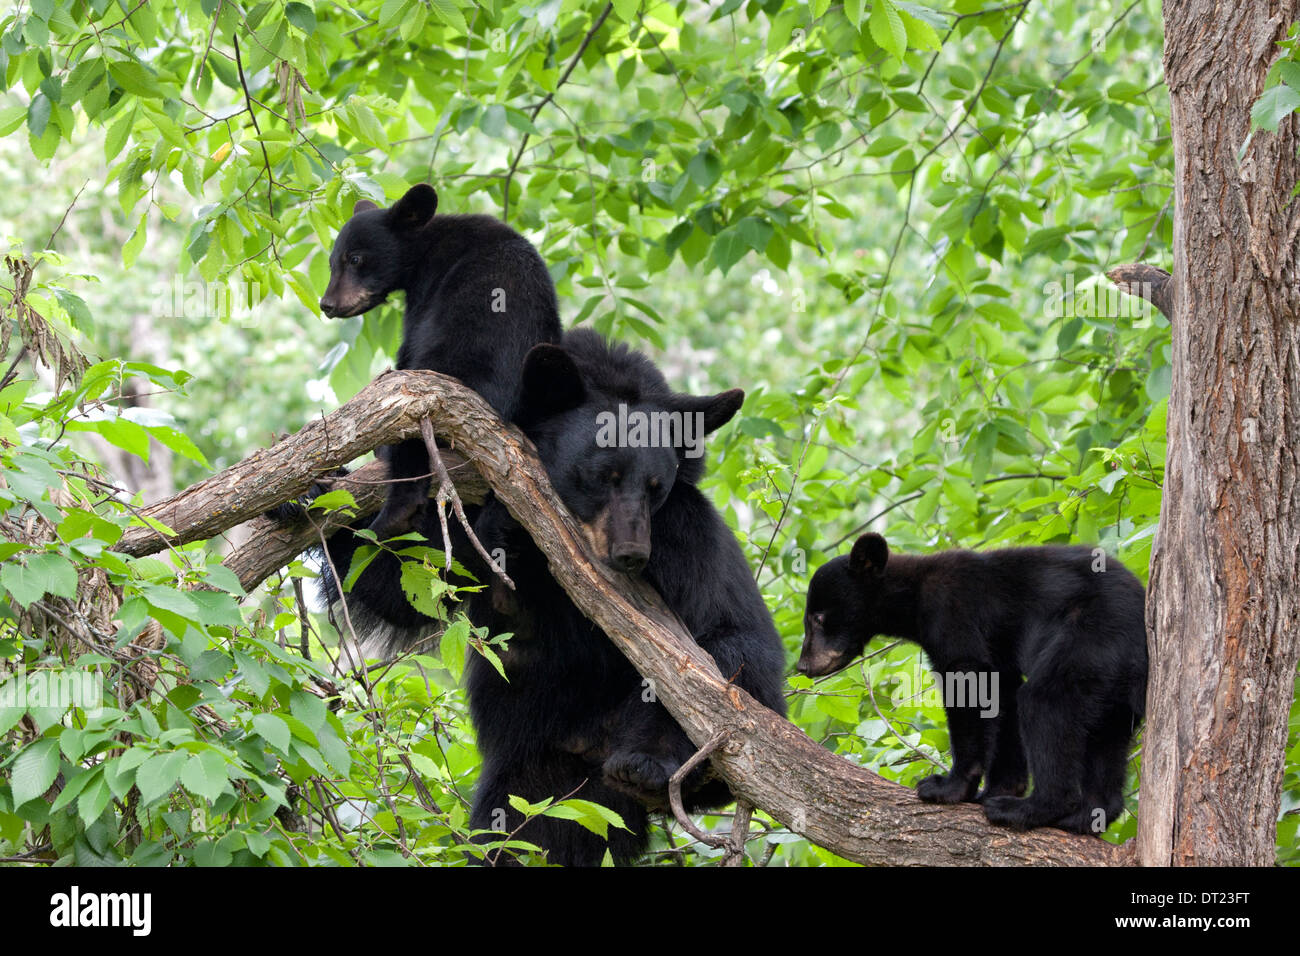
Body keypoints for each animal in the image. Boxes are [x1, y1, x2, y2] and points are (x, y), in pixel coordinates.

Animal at [464, 329, 788, 866]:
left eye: (656, 486)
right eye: (603, 475)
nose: (632, 554)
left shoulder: (687, 539)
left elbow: (711, 637)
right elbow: (502, 615)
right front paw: (506, 532)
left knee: (710, 676)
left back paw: (645, 768)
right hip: (544, 779)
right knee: (517, 830)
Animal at [797, 533, 1147, 835]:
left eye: (818, 617)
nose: (803, 665)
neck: (913, 596)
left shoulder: (953, 612)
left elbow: (968, 683)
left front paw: (948, 787)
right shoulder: (999, 654)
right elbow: (1002, 699)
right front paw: (996, 789)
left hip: (1092, 633)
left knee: (1045, 702)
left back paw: (1027, 809)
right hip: (1114, 683)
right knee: (1108, 735)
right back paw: (1087, 816)